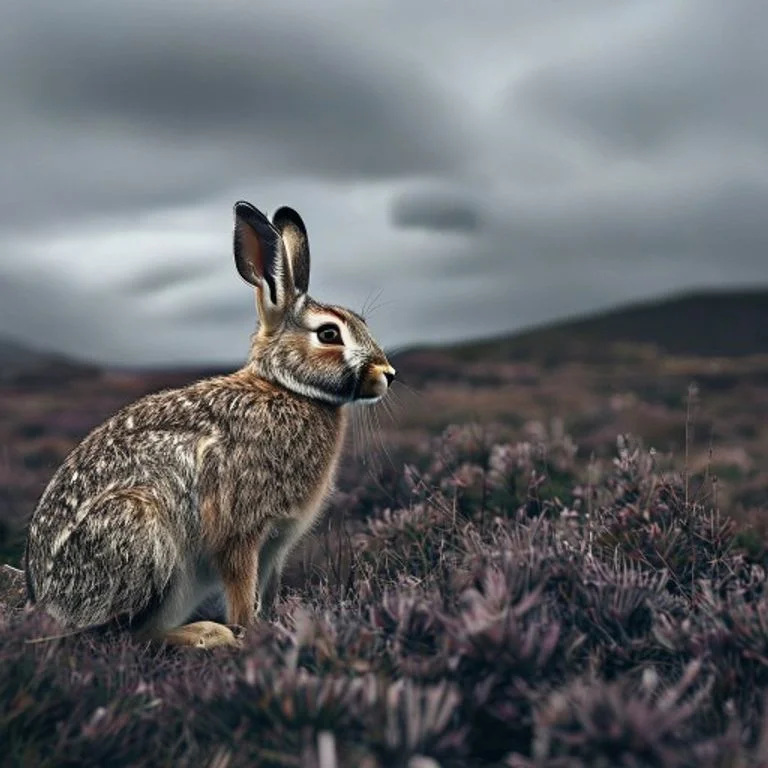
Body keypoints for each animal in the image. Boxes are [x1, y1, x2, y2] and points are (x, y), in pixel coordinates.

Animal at [24, 201, 396, 649]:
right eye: (328, 334)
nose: (387, 374)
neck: (286, 389)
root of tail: (49, 600)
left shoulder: (276, 543)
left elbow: (264, 589)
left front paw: (270, 626)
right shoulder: (239, 530)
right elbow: (240, 586)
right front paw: (249, 636)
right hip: (142, 536)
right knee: (128, 632)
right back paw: (211, 636)